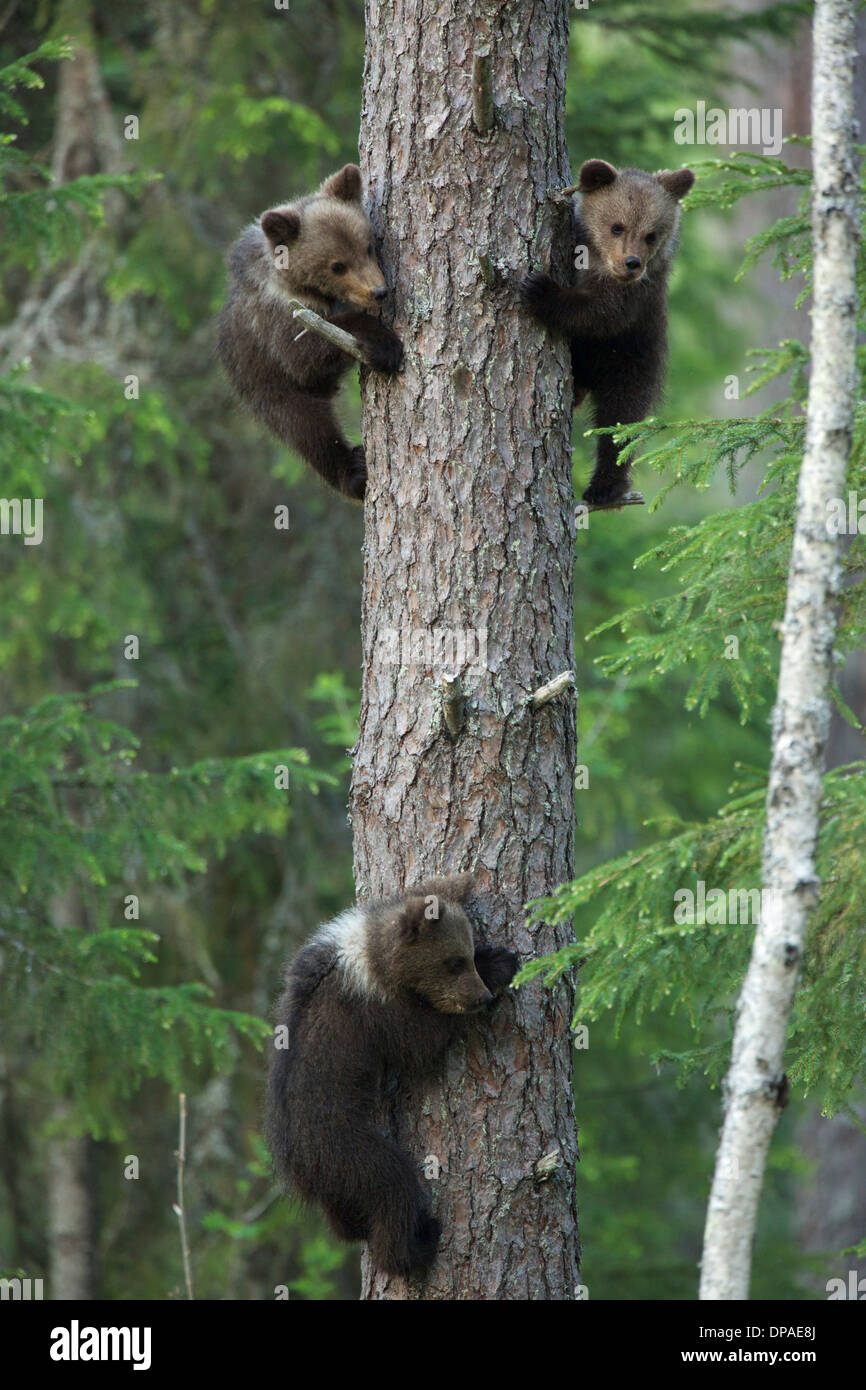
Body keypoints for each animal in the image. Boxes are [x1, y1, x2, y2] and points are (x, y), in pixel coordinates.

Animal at [217, 164, 403, 501]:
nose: (379, 291)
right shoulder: (277, 318)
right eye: (337, 265)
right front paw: (384, 345)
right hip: (273, 390)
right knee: (309, 431)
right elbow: (304, 352)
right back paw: (355, 473)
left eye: (368, 247)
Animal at [265, 872, 518, 1277]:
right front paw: (500, 963)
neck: (372, 955)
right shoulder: (374, 1012)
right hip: (345, 1149)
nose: (480, 997)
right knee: (392, 1186)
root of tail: (297, 1172)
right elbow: (419, 1039)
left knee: (346, 1222)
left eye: (463, 955)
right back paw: (419, 1242)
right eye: (454, 961)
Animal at [521, 159, 694, 508]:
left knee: (619, 426)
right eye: (617, 226)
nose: (632, 263)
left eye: (651, 234)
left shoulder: (635, 298)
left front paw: (539, 289)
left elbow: (600, 315)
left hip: (631, 365)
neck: (597, 262)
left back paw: (604, 488)